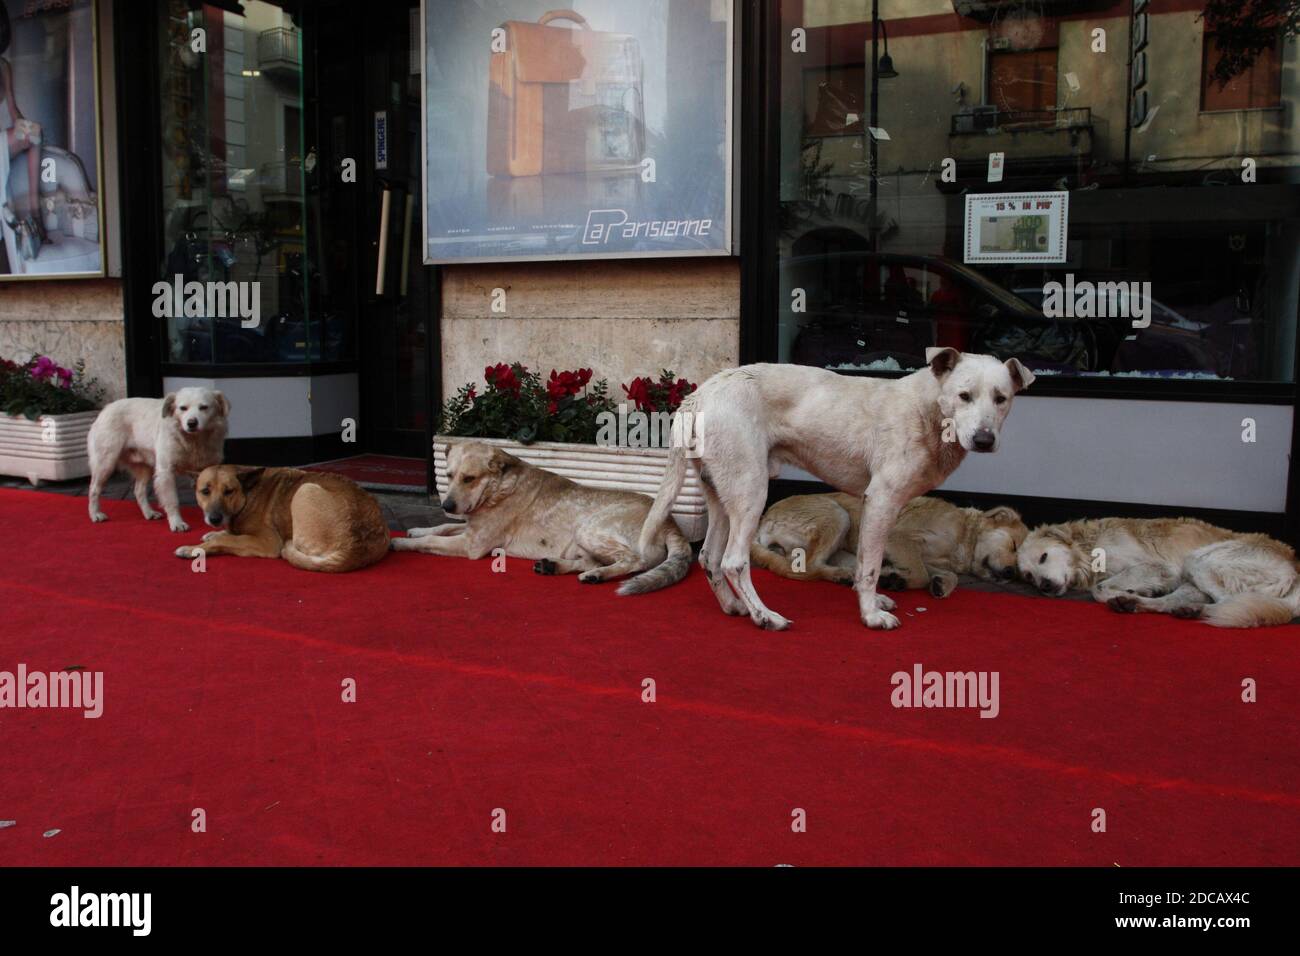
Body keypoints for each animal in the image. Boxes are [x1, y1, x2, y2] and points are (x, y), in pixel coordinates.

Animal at [86, 390, 230, 538]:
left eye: (204, 407)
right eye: (183, 408)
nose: (191, 423)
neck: (193, 440)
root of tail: (107, 408)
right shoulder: (166, 472)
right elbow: (172, 501)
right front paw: (177, 523)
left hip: (146, 468)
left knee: (138, 490)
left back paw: (149, 513)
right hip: (105, 463)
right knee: (94, 489)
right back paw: (95, 514)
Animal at [172, 468, 387, 572]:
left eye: (229, 491)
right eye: (205, 491)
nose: (214, 518)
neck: (247, 495)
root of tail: (357, 547)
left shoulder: (267, 542)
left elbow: (228, 539)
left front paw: (193, 548)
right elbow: (227, 534)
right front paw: (213, 533)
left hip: (305, 489)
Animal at [392, 444, 691, 595]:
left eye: (469, 478)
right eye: (449, 475)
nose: (446, 504)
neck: (498, 488)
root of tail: (671, 524)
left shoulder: (472, 544)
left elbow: (432, 540)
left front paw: (400, 543)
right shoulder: (471, 528)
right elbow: (442, 526)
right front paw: (415, 529)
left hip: (590, 529)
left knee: (633, 561)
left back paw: (595, 575)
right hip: (583, 541)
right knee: (592, 561)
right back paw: (555, 566)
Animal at [754, 494, 1024, 598]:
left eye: (1021, 570)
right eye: (1013, 545)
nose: (1011, 574)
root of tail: (764, 520)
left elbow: (945, 575)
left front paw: (941, 584)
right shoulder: (898, 537)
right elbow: (921, 574)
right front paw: (899, 580)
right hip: (838, 514)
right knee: (808, 566)